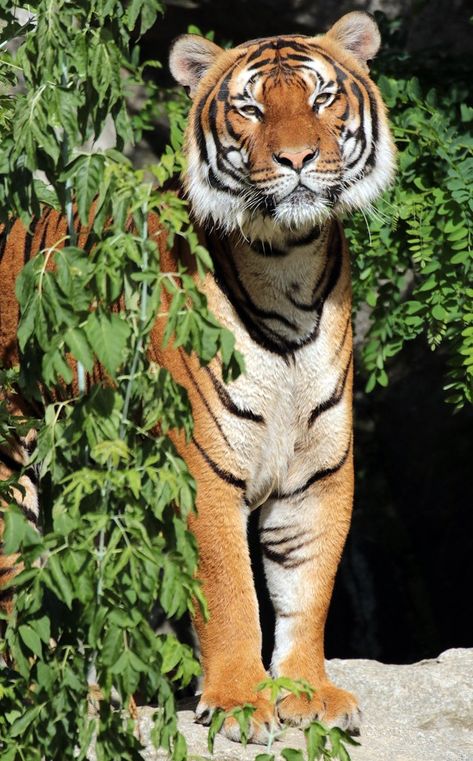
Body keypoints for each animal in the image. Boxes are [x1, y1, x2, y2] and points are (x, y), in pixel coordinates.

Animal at [0, 10, 394, 744]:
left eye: (322, 98)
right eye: (250, 107)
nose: (297, 159)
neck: (289, 266)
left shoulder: (318, 472)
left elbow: (307, 588)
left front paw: (310, 690)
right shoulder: (203, 469)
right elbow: (231, 592)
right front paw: (242, 700)